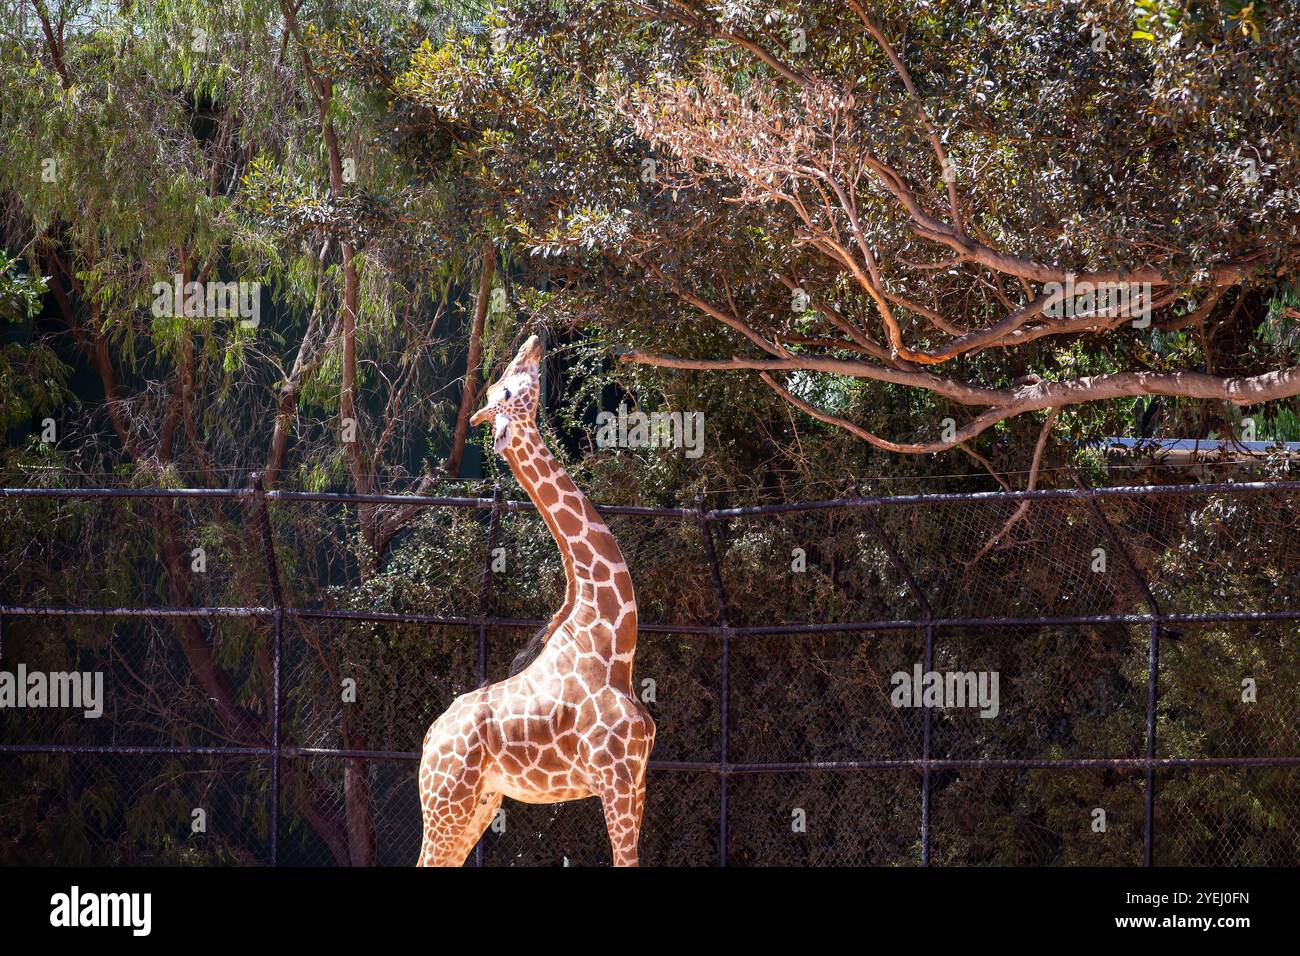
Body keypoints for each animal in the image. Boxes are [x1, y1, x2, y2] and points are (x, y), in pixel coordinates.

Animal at [415, 334, 656, 867]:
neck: (612, 644)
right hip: (447, 802)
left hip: (480, 801)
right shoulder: (617, 777)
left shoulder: (637, 780)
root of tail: (429, 740)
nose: (531, 342)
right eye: (506, 391)